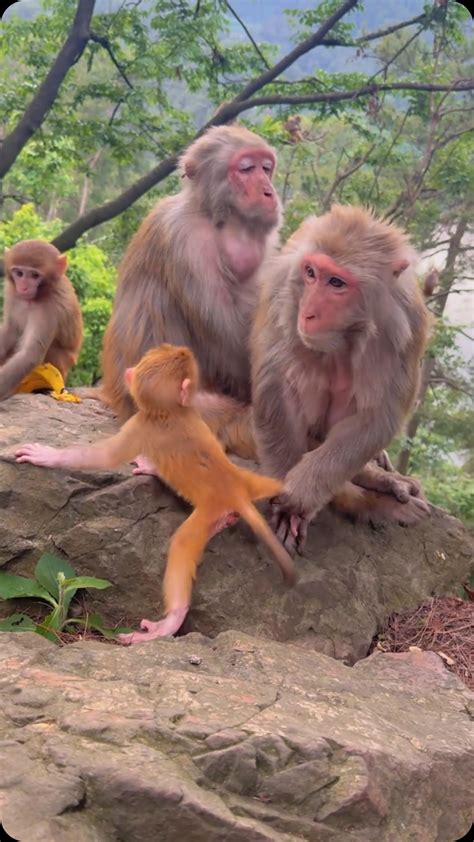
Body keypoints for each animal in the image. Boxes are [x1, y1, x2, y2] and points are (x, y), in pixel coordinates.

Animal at [0, 240, 83, 401]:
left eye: (35, 275)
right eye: (19, 273)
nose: (23, 287)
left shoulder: (50, 308)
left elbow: (30, 355)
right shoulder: (11, 292)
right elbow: (11, 329)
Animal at [16, 344, 296, 643]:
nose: (182, 350)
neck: (172, 411)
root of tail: (238, 491)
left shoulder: (139, 425)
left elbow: (102, 457)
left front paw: (47, 456)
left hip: (210, 508)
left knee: (182, 544)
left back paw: (171, 620)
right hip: (254, 481)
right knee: (283, 483)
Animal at [251, 204, 432, 553]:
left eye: (336, 282)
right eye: (311, 273)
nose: (308, 313)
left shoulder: (406, 323)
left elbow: (376, 415)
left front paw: (301, 495)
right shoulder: (283, 289)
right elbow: (276, 381)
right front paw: (284, 499)